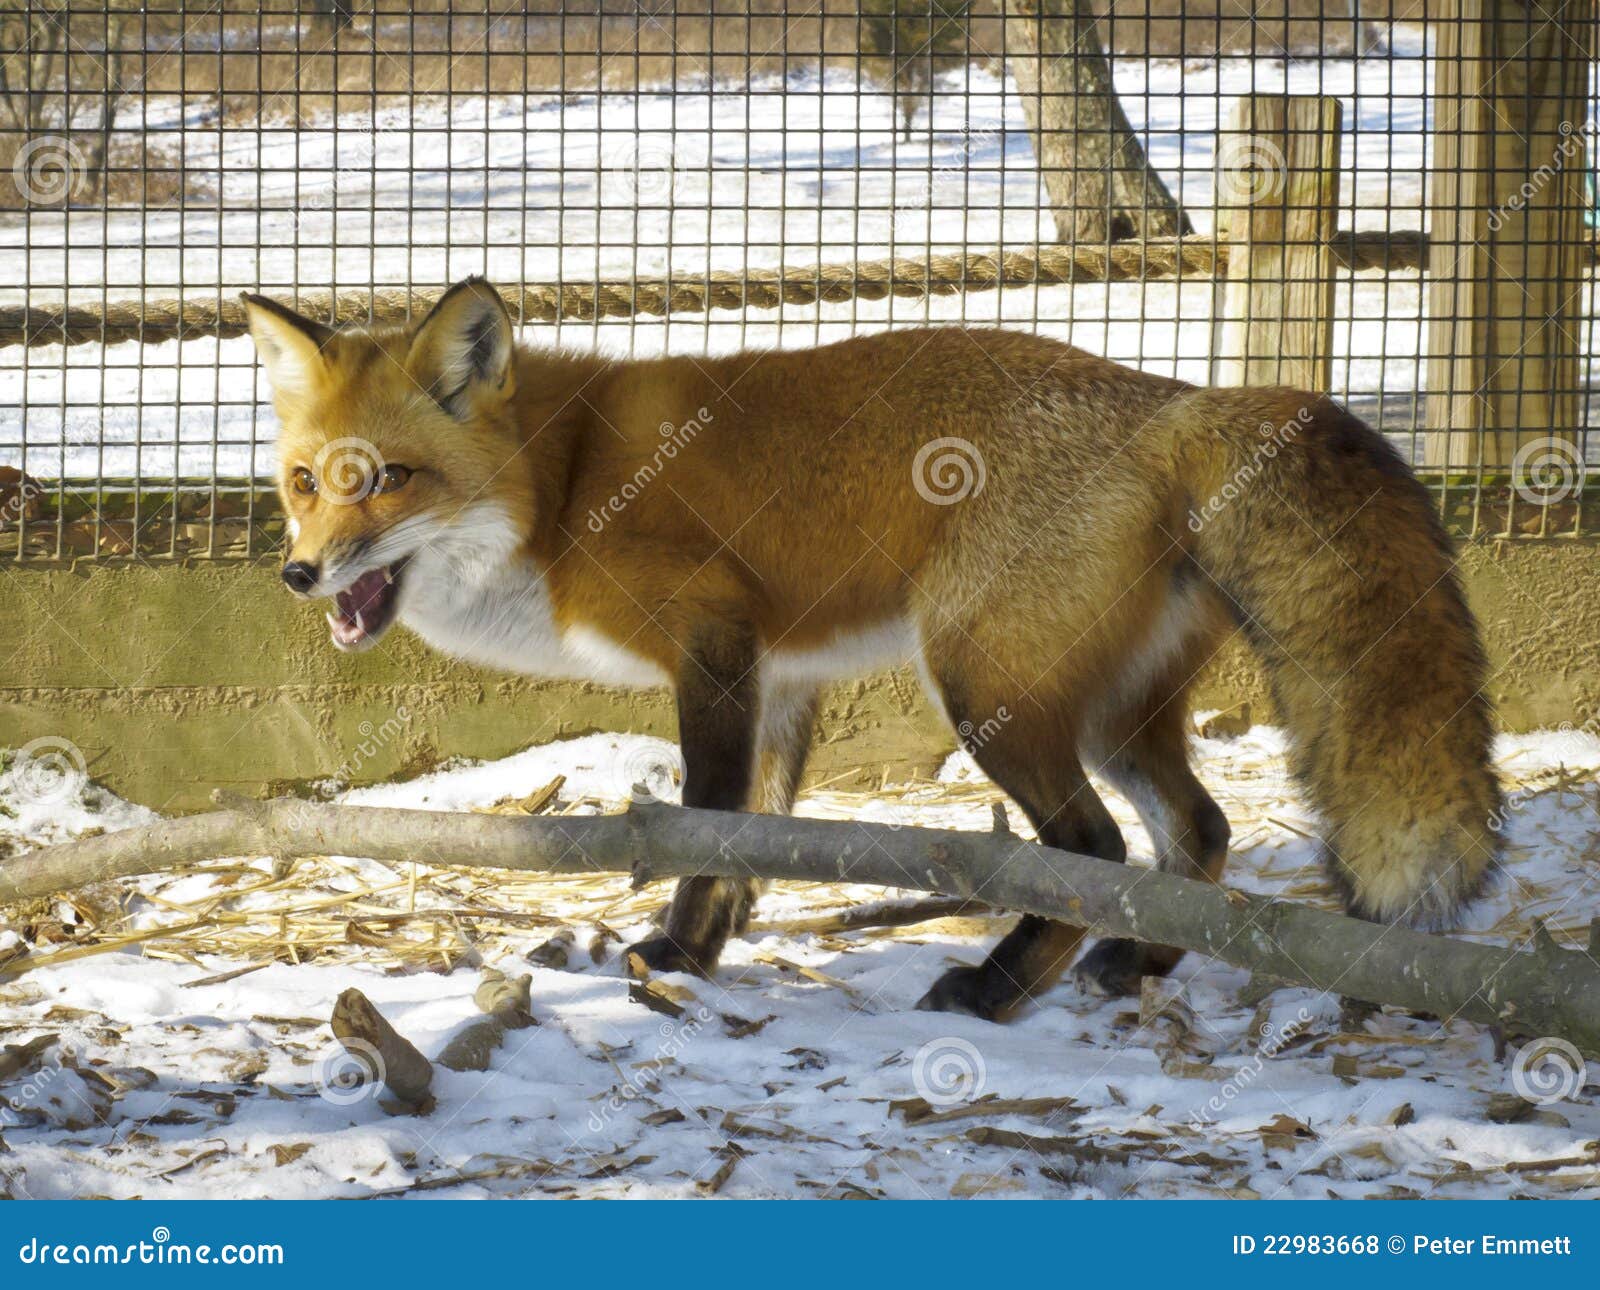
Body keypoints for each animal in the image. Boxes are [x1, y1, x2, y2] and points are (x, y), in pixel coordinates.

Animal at [243, 276, 1501, 1022]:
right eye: (305, 482)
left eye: (389, 478)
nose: (300, 575)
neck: (563, 488)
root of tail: (1171, 400)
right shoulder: (778, 675)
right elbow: (760, 832)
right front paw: (717, 944)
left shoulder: (711, 640)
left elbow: (707, 817)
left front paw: (675, 957)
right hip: (1107, 715)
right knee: (1198, 832)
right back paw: (1136, 965)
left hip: (987, 691)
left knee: (1091, 847)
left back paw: (992, 987)